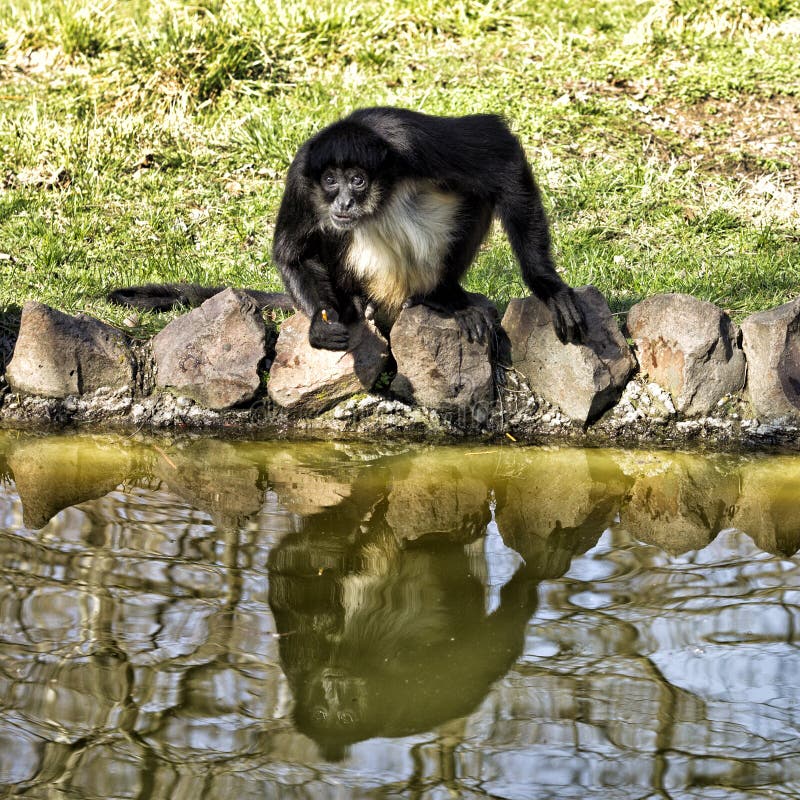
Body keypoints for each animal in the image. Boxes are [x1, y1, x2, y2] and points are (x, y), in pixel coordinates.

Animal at [109, 107, 585, 350]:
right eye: (329, 180)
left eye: (357, 180)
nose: (342, 202)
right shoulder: (302, 172)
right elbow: (291, 253)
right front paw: (321, 324)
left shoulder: (410, 139)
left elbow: (502, 155)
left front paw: (548, 288)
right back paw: (358, 302)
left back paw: (441, 296)